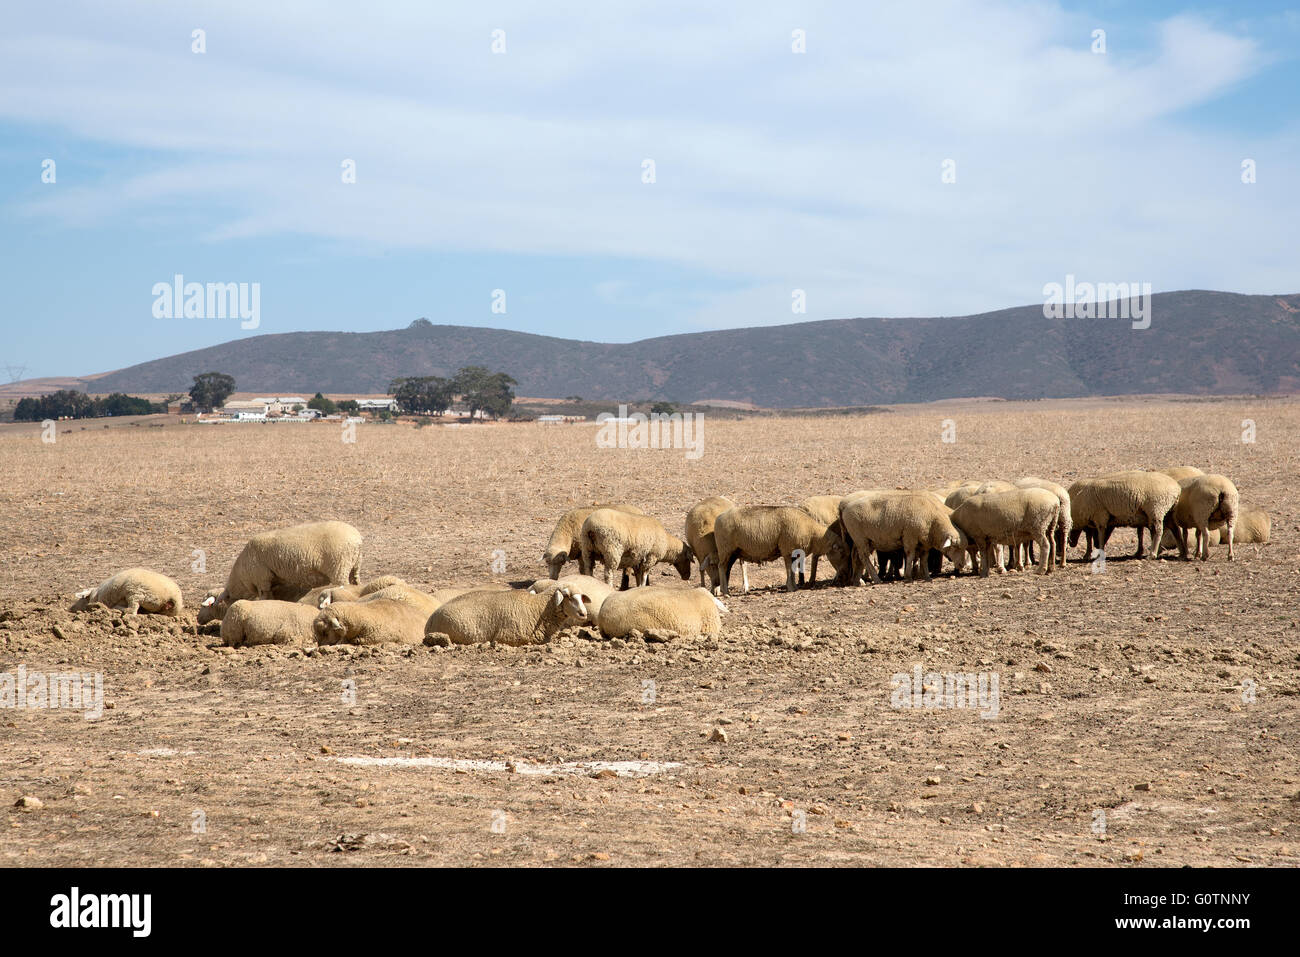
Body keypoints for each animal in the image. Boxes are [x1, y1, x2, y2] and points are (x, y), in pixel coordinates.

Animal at [199, 520, 362, 622]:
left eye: (226, 599)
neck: (241, 576)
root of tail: (357, 538)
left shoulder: (262, 580)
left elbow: (265, 597)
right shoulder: (272, 581)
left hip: (339, 565)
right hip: (354, 566)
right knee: (356, 583)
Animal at [424, 584, 591, 646]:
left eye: (581, 597)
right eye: (568, 596)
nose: (583, 614)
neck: (536, 608)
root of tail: (430, 620)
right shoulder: (509, 638)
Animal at [714, 505, 849, 595]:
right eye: (842, 553)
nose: (844, 573)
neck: (813, 534)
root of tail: (719, 517)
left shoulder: (794, 554)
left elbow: (793, 570)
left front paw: (794, 586)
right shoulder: (787, 550)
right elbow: (789, 569)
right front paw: (791, 587)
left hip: (734, 552)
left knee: (726, 569)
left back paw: (725, 590)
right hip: (726, 549)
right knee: (721, 567)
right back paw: (725, 592)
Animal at [838, 493, 967, 584]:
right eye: (956, 547)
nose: (962, 565)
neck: (932, 521)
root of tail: (845, 508)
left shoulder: (924, 543)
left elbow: (924, 559)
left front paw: (927, 577)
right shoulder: (910, 537)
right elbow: (910, 556)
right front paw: (908, 576)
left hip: (862, 540)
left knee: (857, 557)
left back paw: (857, 581)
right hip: (860, 537)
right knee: (864, 557)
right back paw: (876, 579)